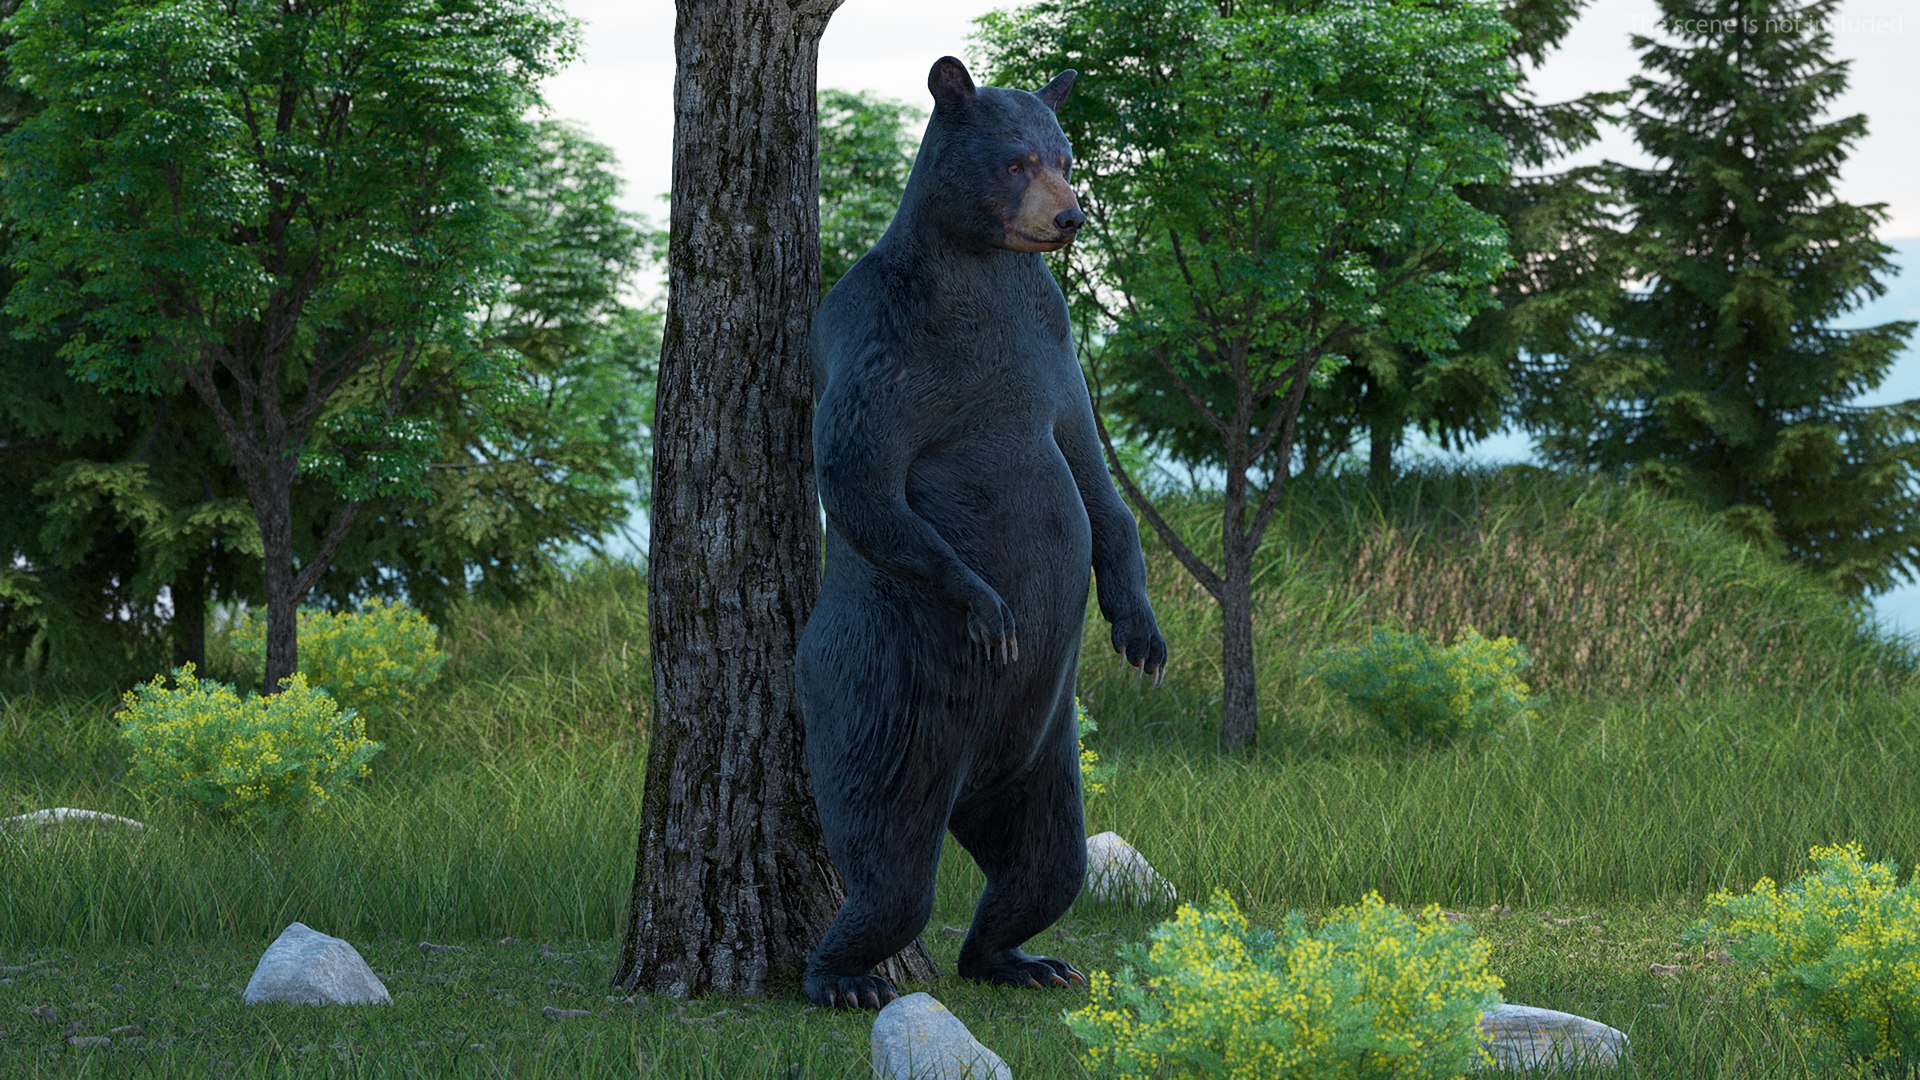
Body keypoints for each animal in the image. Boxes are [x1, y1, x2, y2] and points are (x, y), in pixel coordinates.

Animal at [795, 55, 1169, 1010]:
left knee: (1048, 864)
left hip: (1044, 760)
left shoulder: (1045, 339)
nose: (1070, 216)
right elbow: (860, 475)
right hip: (885, 691)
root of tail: (972, 787)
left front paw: (1142, 633)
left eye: (1064, 157)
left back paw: (1020, 957)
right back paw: (843, 974)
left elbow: (1090, 478)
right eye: (1013, 162)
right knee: (890, 863)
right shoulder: (884, 333)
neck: (977, 261)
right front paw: (990, 604)